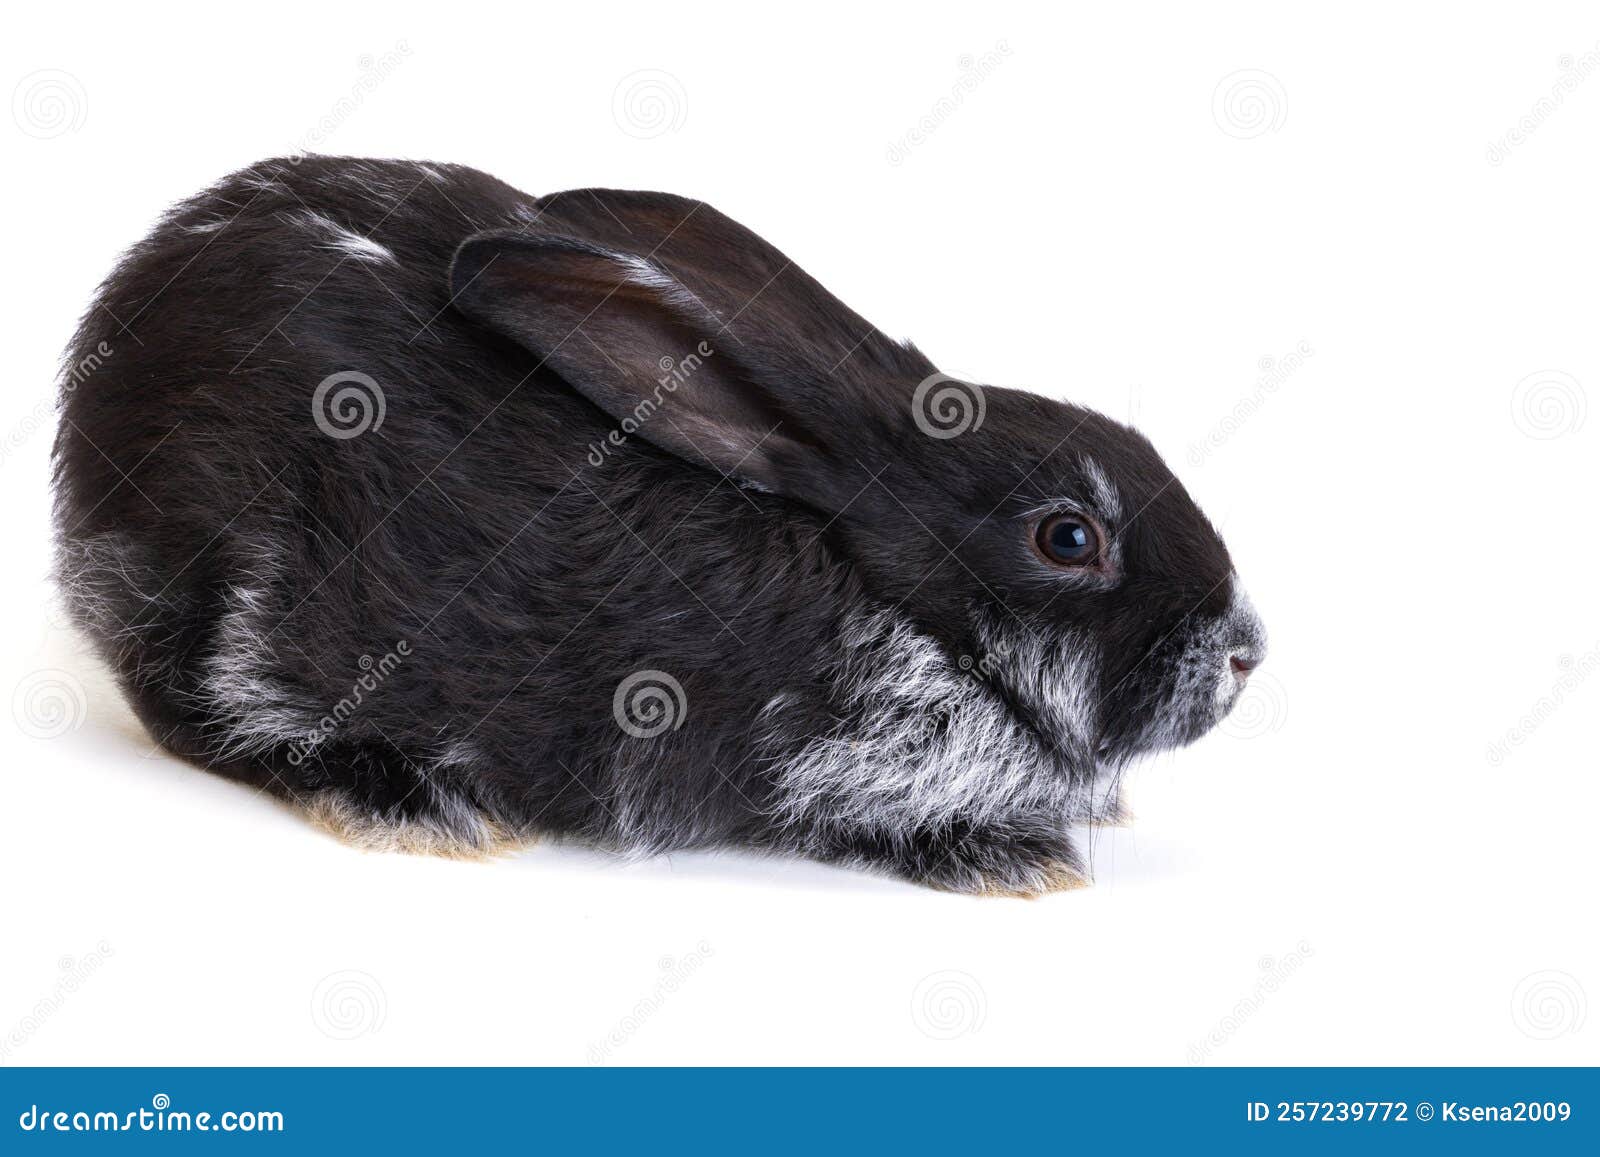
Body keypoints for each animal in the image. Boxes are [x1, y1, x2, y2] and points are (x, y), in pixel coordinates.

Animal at [53, 155, 1265, 896]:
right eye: (1068, 536)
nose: (1246, 650)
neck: (891, 598)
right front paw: (1018, 860)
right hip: (237, 576)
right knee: (204, 712)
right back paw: (405, 801)